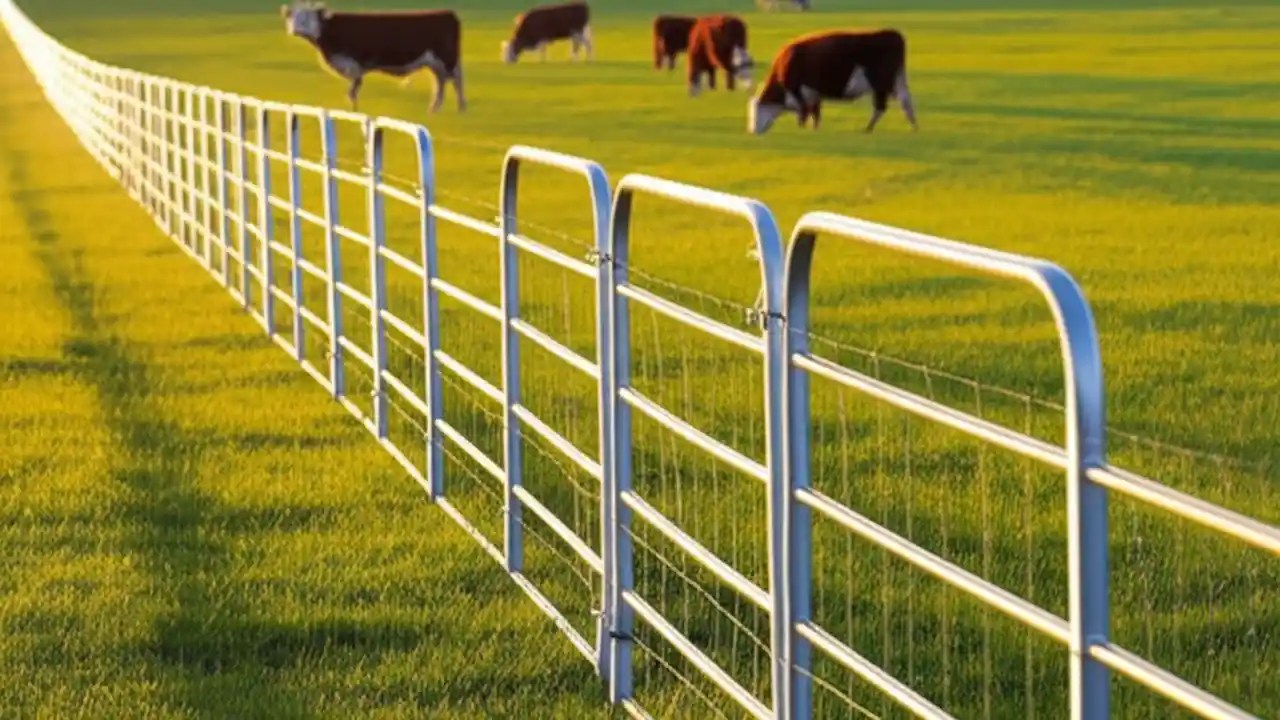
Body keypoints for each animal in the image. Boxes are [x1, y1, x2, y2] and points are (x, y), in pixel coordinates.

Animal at [280, 1, 464, 113]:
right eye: (293, 17)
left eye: (307, 17)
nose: (296, 30)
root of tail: (448, 13)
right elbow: (353, 91)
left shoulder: (354, 65)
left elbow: (352, 91)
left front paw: (354, 110)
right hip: (436, 63)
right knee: (440, 83)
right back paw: (434, 110)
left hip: (447, 59)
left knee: (456, 81)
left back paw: (459, 109)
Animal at [747, 30, 917, 135]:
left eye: (756, 111)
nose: (753, 131)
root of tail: (892, 33)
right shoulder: (814, 94)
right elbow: (815, 113)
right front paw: (814, 129)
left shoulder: (799, 91)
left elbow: (804, 113)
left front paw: (802, 129)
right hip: (897, 82)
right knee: (906, 102)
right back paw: (914, 127)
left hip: (880, 84)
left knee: (880, 107)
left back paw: (867, 129)